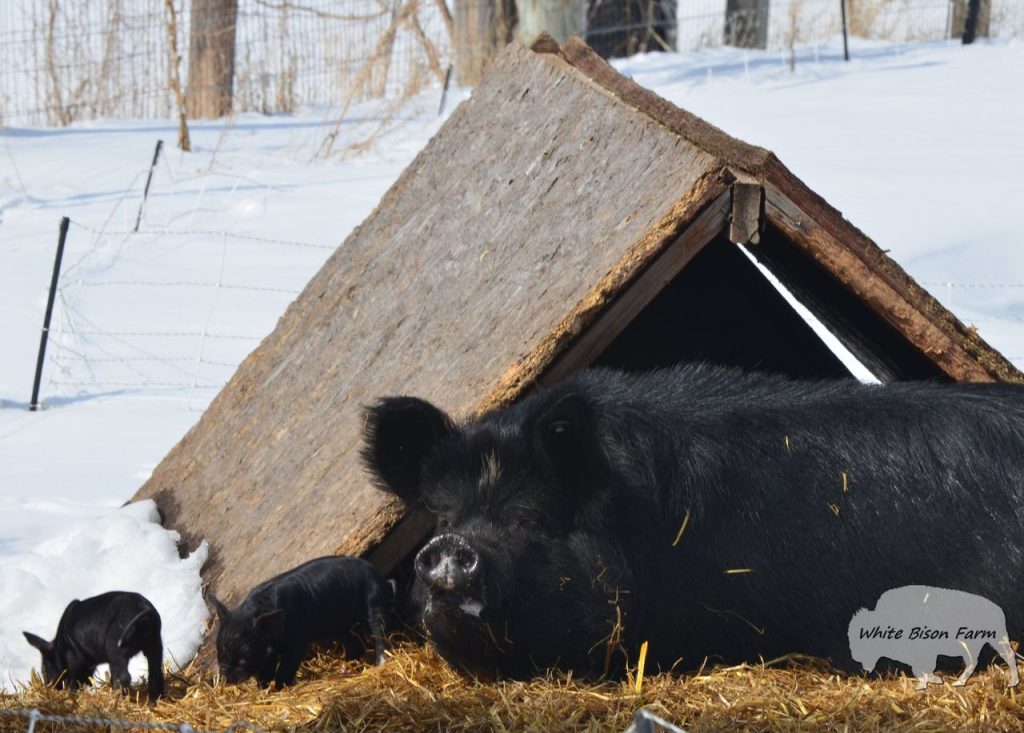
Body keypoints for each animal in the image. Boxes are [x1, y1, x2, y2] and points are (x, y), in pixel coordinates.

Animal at [23, 591, 164, 701]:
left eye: (44, 669)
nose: (50, 689)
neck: (61, 645)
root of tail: (144, 608)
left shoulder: (75, 657)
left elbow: (73, 680)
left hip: (116, 648)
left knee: (123, 677)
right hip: (155, 643)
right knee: (155, 673)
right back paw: (154, 702)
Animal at [211, 555, 393, 688]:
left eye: (244, 656)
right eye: (220, 651)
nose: (226, 677)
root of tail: (380, 576)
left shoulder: (296, 642)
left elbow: (285, 668)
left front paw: (279, 688)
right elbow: (265, 669)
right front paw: (262, 688)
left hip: (374, 601)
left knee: (378, 632)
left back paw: (381, 662)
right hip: (338, 626)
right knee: (355, 644)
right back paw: (344, 669)